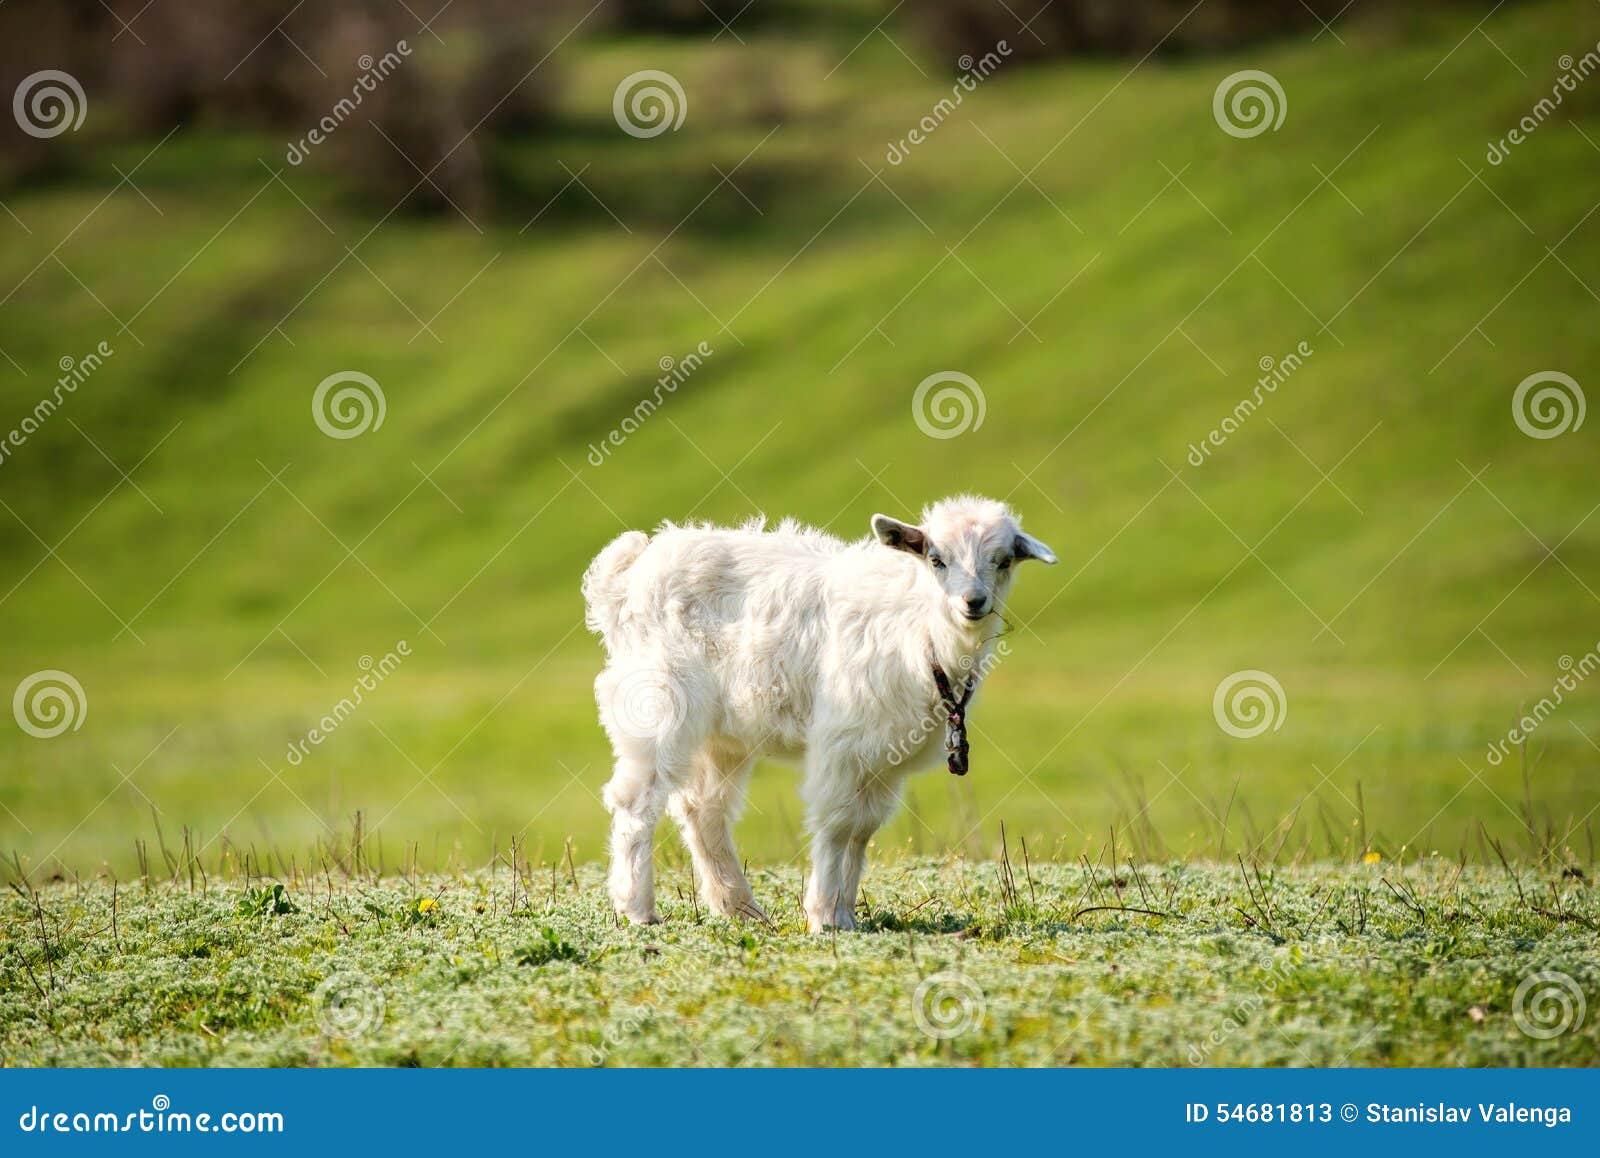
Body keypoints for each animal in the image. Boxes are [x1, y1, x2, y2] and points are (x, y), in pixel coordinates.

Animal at [581, 494, 1056, 932]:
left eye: (1003, 561)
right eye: (936, 560)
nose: (973, 602)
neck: (921, 632)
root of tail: (629, 570)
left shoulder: (883, 758)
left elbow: (862, 830)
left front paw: (845, 914)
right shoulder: (842, 743)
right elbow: (837, 824)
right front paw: (824, 914)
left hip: (724, 735)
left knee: (703, 808)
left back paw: (740, 908)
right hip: (657, 699)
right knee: (637, 800)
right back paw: (637, 909)